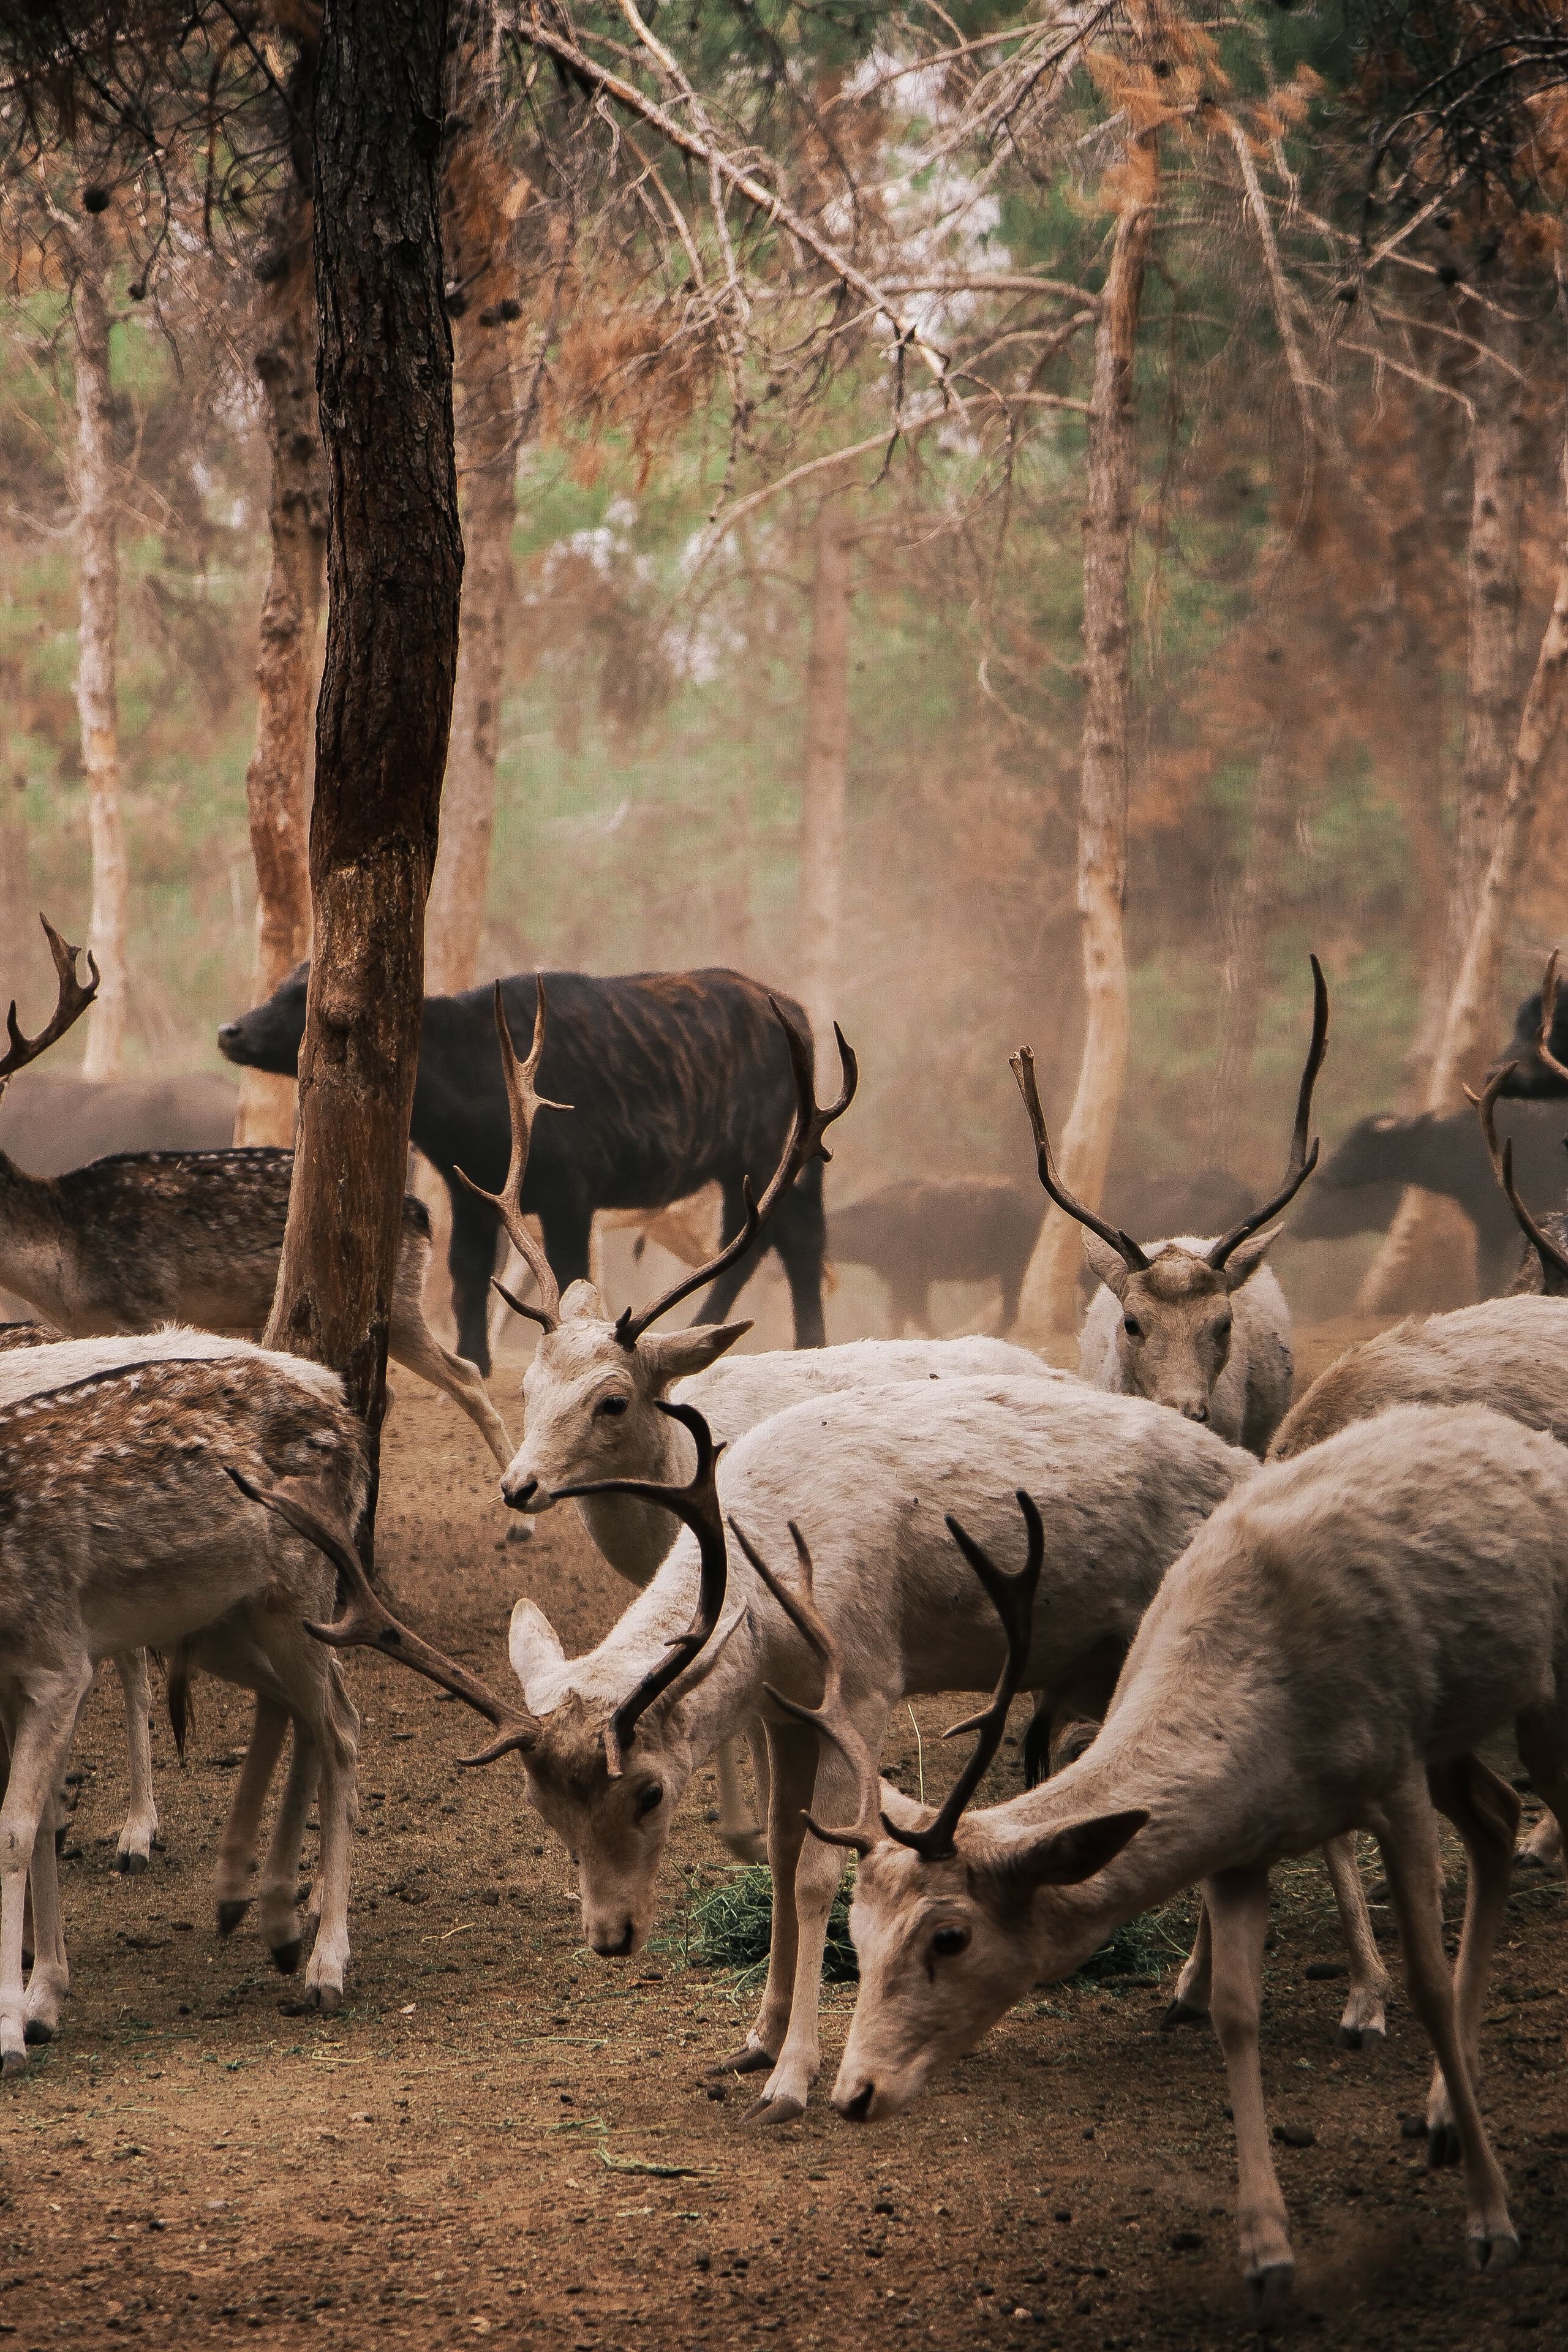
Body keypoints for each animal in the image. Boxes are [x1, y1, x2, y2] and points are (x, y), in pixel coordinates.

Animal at [0, 1332, 370, 2072]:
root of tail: (346, 1417)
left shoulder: (56, 1660)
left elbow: (14, 1832)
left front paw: (9, 2033)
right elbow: (40, 1822)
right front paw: (41, 2002)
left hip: (299, 1591)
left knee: (341, 1726)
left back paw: (324, 1962)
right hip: (223, 1618)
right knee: (310, 1710)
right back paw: (266, 1914)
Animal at [246, 1377, 1386, 2124]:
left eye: (650, 1793)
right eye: (544, 1809)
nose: (611, 1939)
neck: (769, 1576)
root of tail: (1255, 1459)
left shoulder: (865, 1681)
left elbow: (816, 1878)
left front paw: (792, 2084)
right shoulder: (789, 1711)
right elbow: (787, 1848)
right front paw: (750, 2042)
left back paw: (1365, 2004)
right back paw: (1191, 1989)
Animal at [783, 1401, 1568, 2321]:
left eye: (950, 1937)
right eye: (857, 1936)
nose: (854, 2095)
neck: (1273, 1722)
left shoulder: (1395, 1777)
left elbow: (1429, 1988)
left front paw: (1491, 2223)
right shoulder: (1239, 1846)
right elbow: (1235, 2013)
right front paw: (1266, 2253)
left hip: (1538, 1700)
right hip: (1455, 1742)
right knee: (1496, 1816)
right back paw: (1445, 2109)